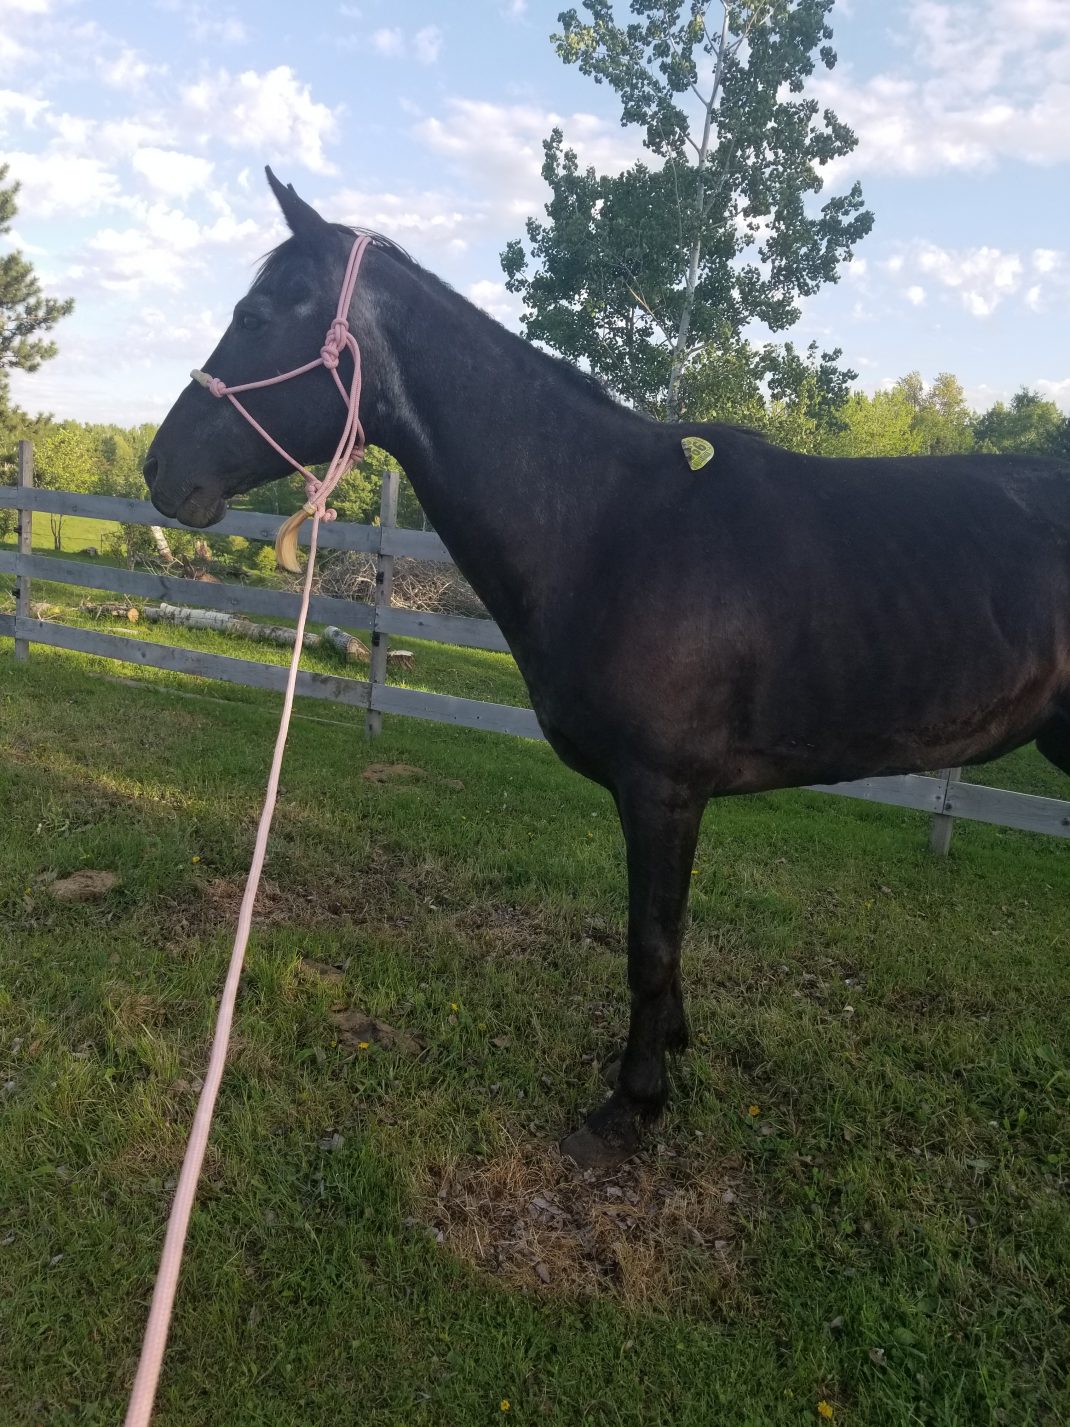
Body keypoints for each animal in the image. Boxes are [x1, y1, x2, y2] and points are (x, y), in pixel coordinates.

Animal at [144, 169, 1070, 1169]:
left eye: (258, 312)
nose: (160, 469)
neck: (606, 521)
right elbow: (667, 936)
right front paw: (669, 1047)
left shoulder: (662, 787)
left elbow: (650, 940)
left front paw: (632, 1101)